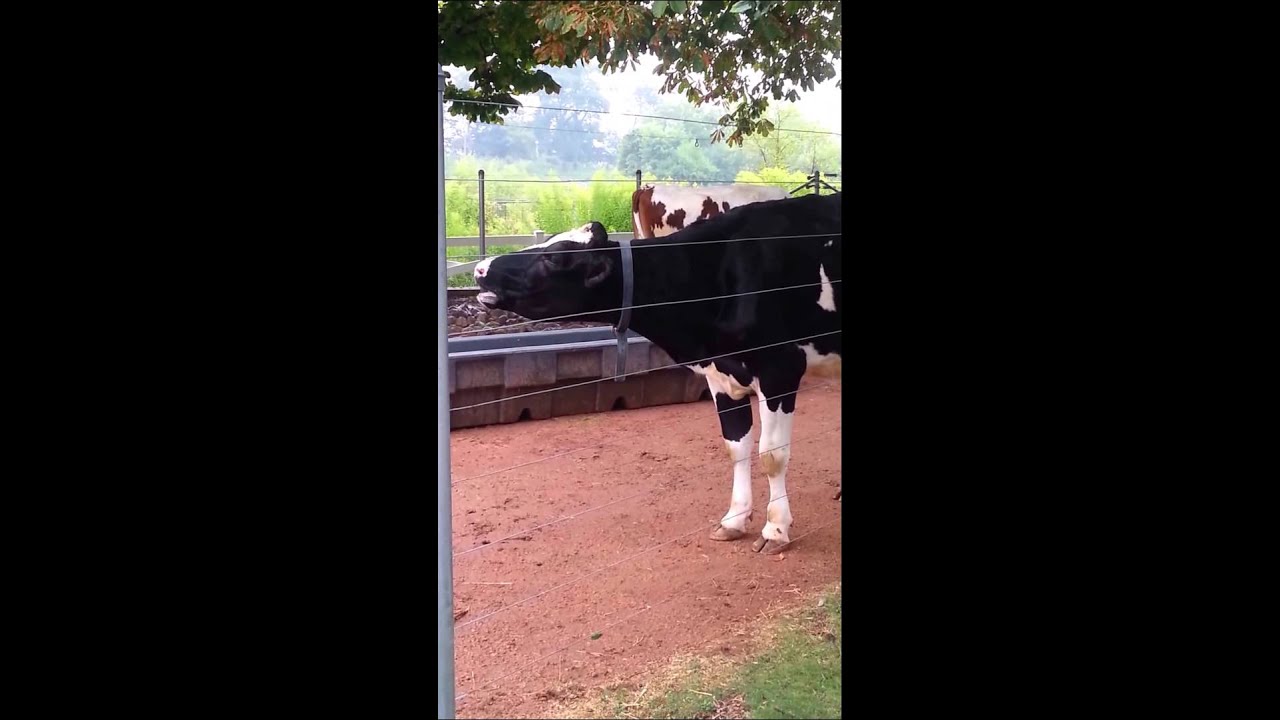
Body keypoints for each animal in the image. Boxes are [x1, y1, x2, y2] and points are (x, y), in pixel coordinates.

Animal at [472, 193, 841, 555]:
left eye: (554, 257)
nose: (480, 268)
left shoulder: (780, 368)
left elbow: (772, 455)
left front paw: (775, 530)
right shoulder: (721, 375)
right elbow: (736, 448)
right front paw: (734, 520)